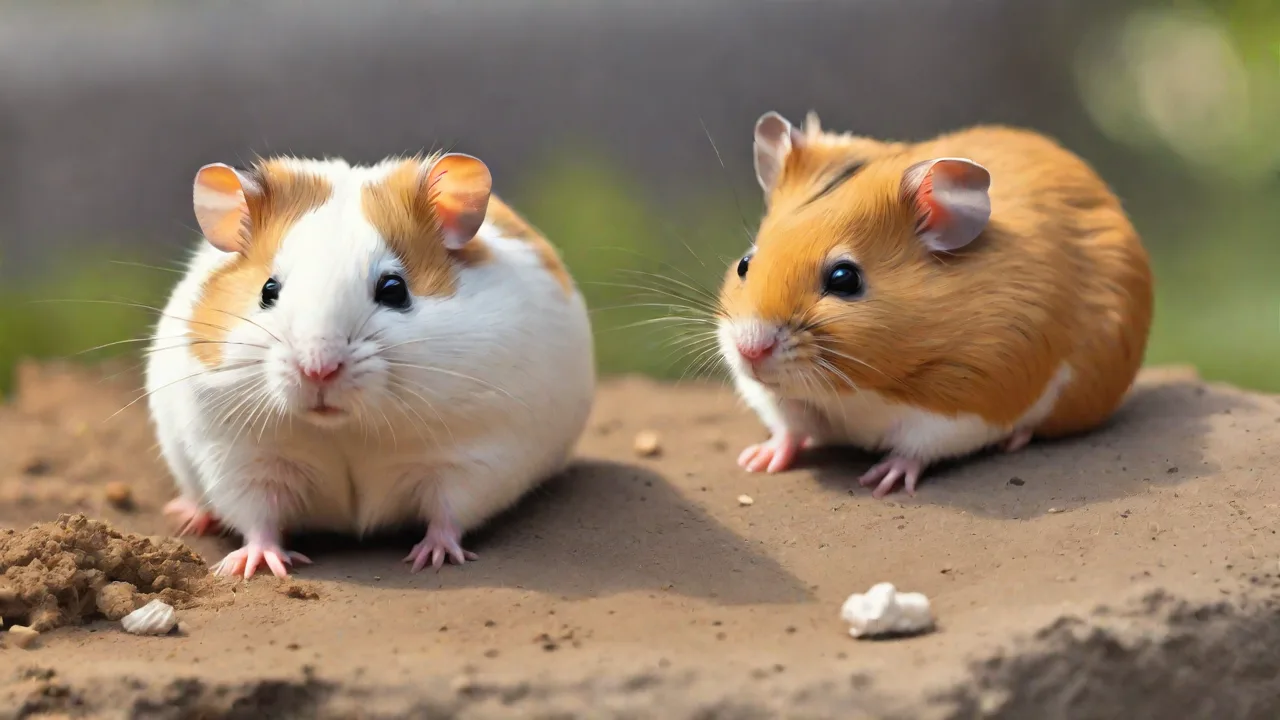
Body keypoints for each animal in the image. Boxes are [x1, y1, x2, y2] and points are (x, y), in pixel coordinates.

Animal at [145, 152, 595, 578]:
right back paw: (188, 515)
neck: (344, 429)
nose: (318, 371)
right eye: (267, 291)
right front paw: (256, 566)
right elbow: (258, 519)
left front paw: (432, 558)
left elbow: (449, 513)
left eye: (394, 290)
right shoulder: (241, 460)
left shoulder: (471, 456)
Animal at [716, 111, 1152, 498]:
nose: (749, 350)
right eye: (745, 264)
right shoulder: (778, 401)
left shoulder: (969, 403)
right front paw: (756, 460)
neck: (848, 391)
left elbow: (918, 448)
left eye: (844, 279)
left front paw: (882, 482)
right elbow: (789, 429)